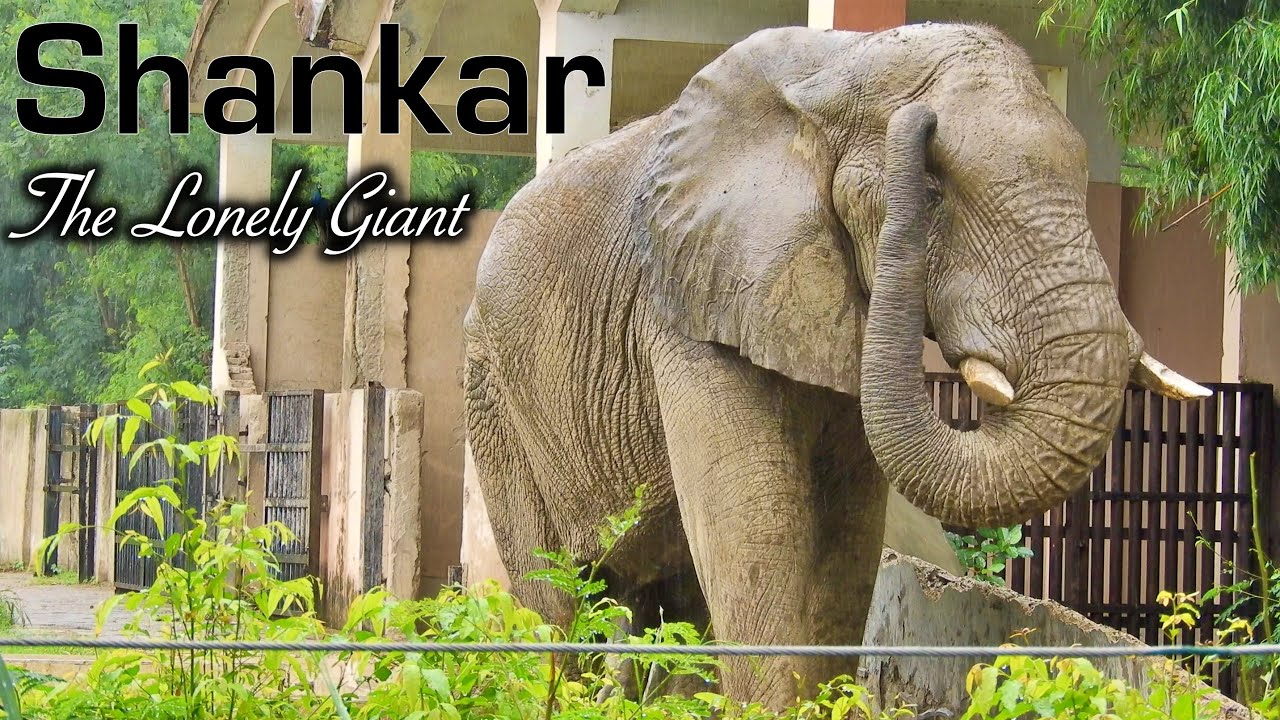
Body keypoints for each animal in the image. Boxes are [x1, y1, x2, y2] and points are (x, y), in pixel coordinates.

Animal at [461, 21, 1208, 708]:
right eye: (932, 193)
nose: (919, 124)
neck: (837, 64)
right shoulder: (683, 308)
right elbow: (762, 531)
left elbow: (848, 537)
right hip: (492, 397)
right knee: (560, 598)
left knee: (666, 594)